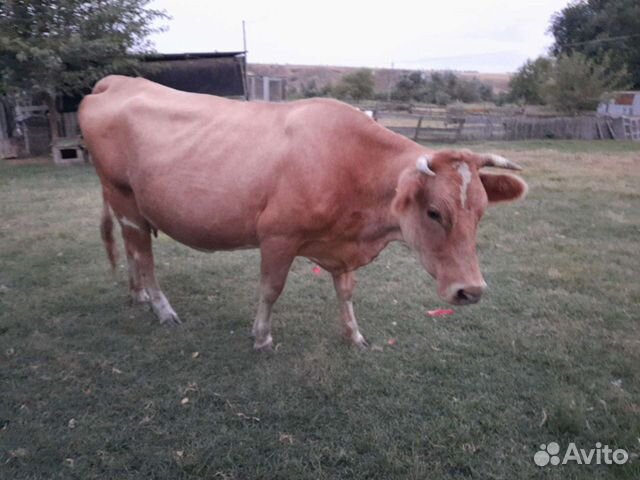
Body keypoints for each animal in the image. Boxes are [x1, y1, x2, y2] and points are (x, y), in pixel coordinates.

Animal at [78, 75, 527, 350]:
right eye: (434, 212)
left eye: (481, 212)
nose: (471, 290)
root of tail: (119, 80)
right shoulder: (278, 236)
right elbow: (270, 288)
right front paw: (261, 337)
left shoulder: (341, 247)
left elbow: (346, 292)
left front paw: (355, 336)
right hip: (124, 196)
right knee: (143, 255)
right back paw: (162, 309)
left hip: (126, 202)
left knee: (131, 249)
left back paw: (138, 295)